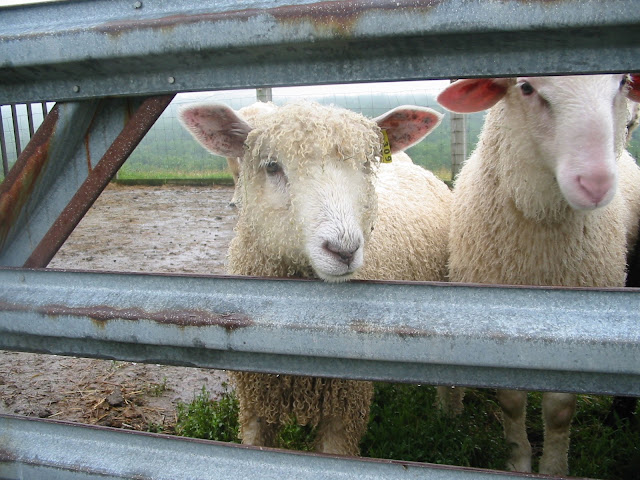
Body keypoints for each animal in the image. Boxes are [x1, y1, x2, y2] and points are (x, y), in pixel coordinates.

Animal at [436, 74, 640, 476]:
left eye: (624, 81)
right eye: (527, 87)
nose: (596, 183)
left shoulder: (578, 331)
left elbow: (560, 410)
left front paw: (553, 468)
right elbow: (511, 401)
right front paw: (519, 461)